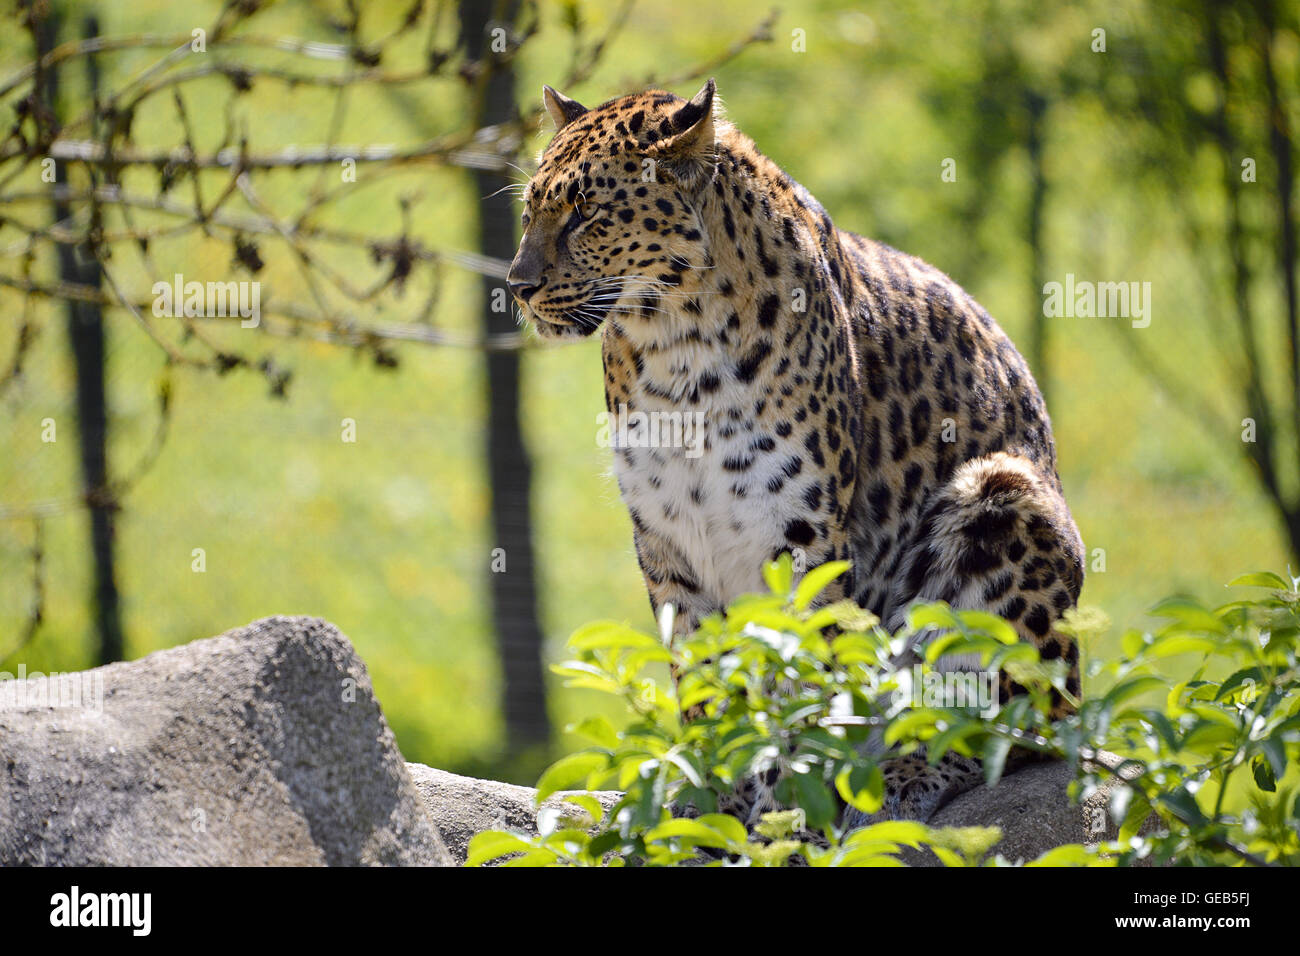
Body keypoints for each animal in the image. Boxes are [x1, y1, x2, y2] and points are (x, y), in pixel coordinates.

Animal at [508, 78, 1085, 827]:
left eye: (586, 211)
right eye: (530, 210)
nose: (517, 287)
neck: (674, 350)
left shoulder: (801, 537)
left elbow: (796, 688)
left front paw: (789, 817)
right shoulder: (667, 538)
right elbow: (703, 681)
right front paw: (709, 808)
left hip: (1005, 494)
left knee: (1023, 718)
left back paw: (899, 777)